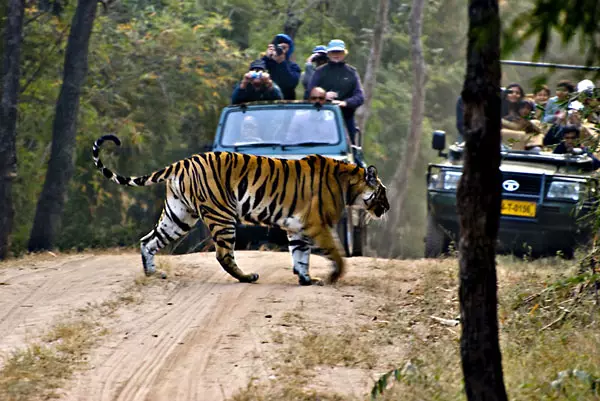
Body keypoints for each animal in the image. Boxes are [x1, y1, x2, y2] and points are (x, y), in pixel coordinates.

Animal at [90, 134, 390, 284]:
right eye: (383, 192)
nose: (387, 208)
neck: (349, 184)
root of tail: (182, 162)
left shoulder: (298, 226)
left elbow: (300, 254)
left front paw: (306, 279)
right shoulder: (317, 224)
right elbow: (335, 253)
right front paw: (334, 276)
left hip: (179, 216)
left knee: (148, 240)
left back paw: (153, 274)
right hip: (221, 215)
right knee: (223, 254)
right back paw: (247, 277)